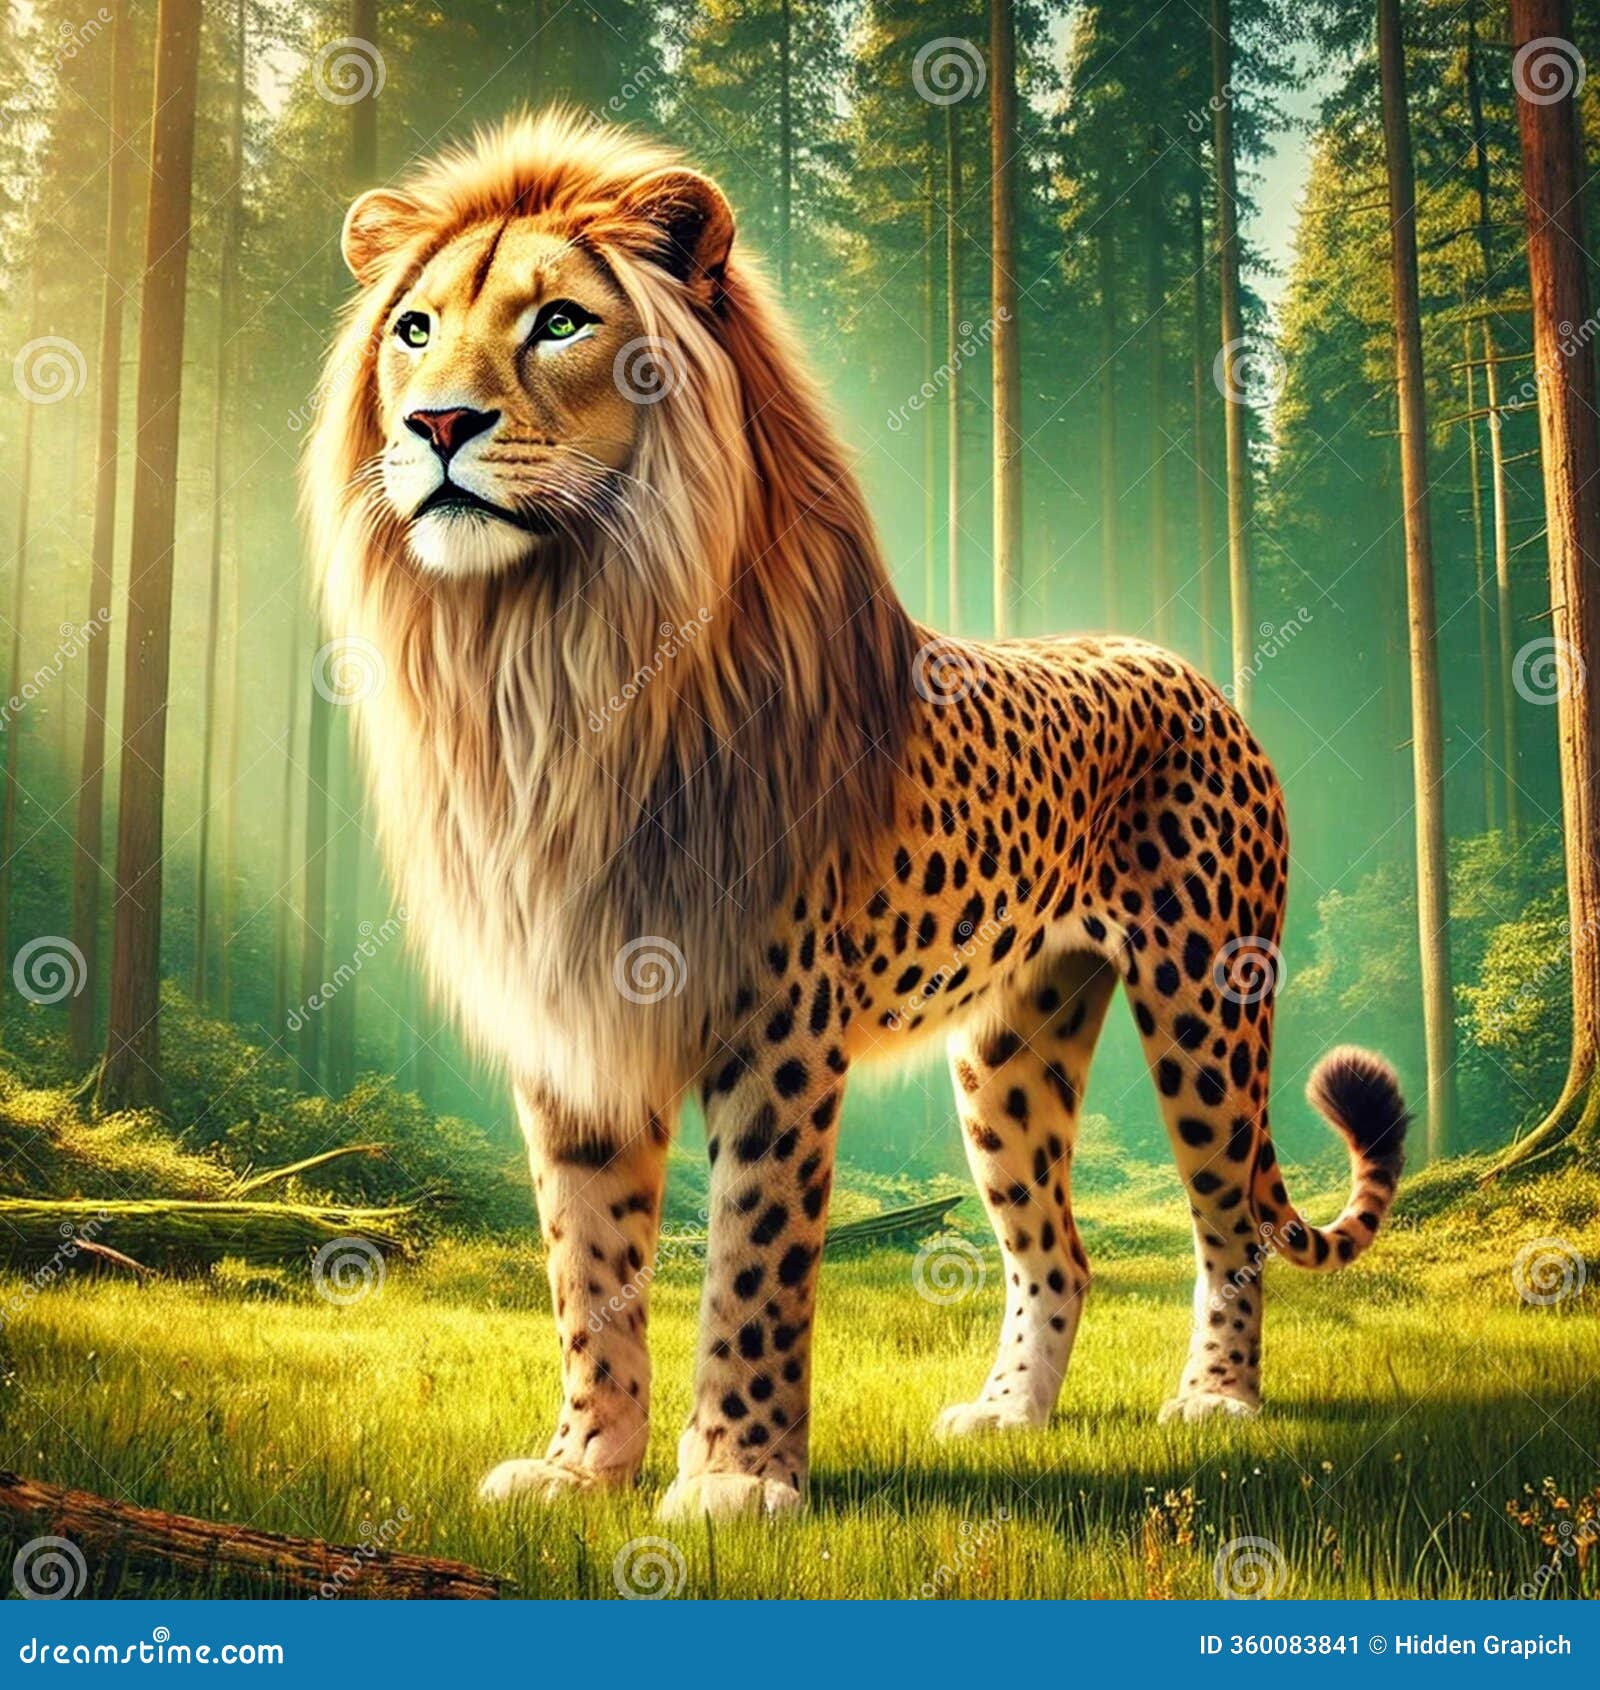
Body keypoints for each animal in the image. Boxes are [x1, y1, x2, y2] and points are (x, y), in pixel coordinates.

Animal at [303, 110, 1407, 1523]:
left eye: (557, 322)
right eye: (414, 329)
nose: (437, 420)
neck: (550, 641)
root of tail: (1187, 666)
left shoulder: (778, 1026)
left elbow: (751, 1262)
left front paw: (734, 1480)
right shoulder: (573, 1028)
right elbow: (587, 1271)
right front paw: (582, 1466)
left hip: (1206, 1003)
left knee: (1228, 1225)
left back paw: (1216, 1400)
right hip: (1011, 1047)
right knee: (1059, 1249)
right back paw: (1008, 1417)